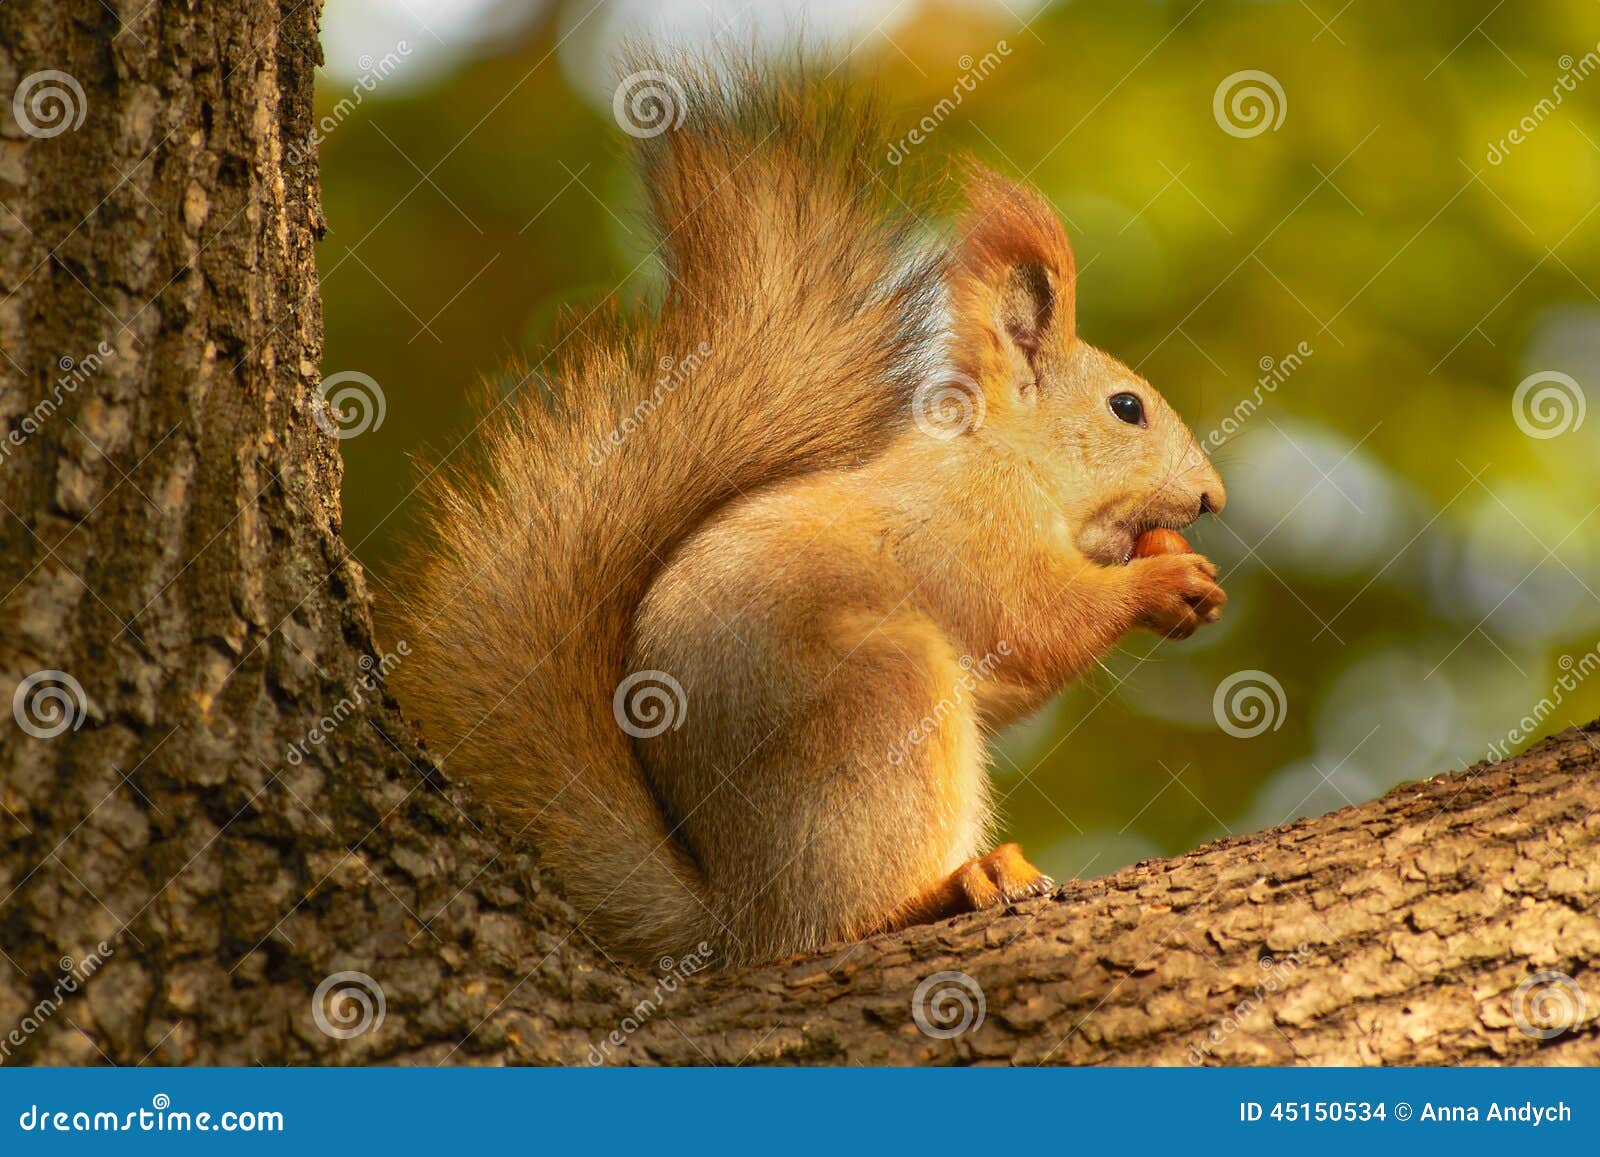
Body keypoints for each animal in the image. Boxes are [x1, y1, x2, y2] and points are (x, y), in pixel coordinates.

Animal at [389, 55, 1226, 966]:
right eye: (1127, 408)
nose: (1212, 496)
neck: (1010, 461)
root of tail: (741, 919)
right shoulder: (970, 532)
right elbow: (1035, 620)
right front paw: (1163, 581)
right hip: (881, 704)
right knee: (847, 917)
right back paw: (953, 886)